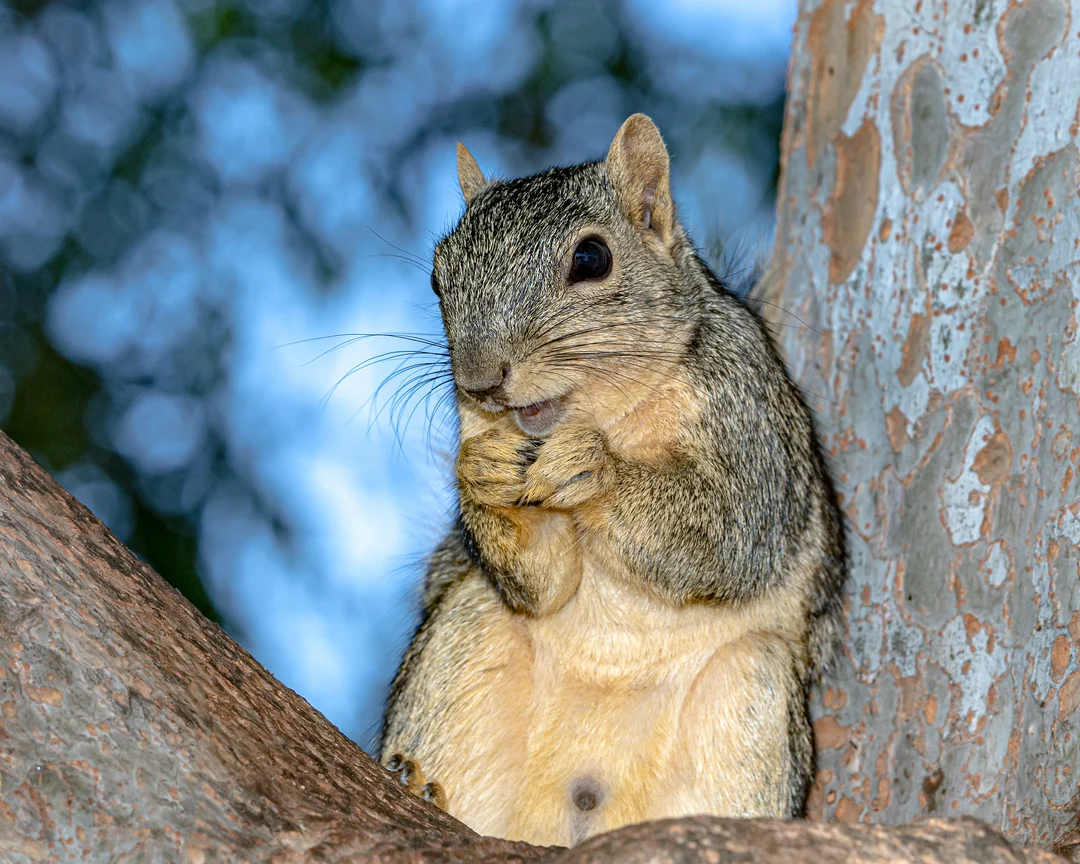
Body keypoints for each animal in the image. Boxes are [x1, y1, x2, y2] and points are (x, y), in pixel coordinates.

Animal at [378, 114, 846, 847]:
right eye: (436, 276)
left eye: (592, 259)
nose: (479, 382)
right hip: (469, 629)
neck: (603, 411)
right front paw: (480, 477)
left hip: (754, 689)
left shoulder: (753, 432)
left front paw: (593, 467)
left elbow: (732, 535)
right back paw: (418, 783)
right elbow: (544, 582)